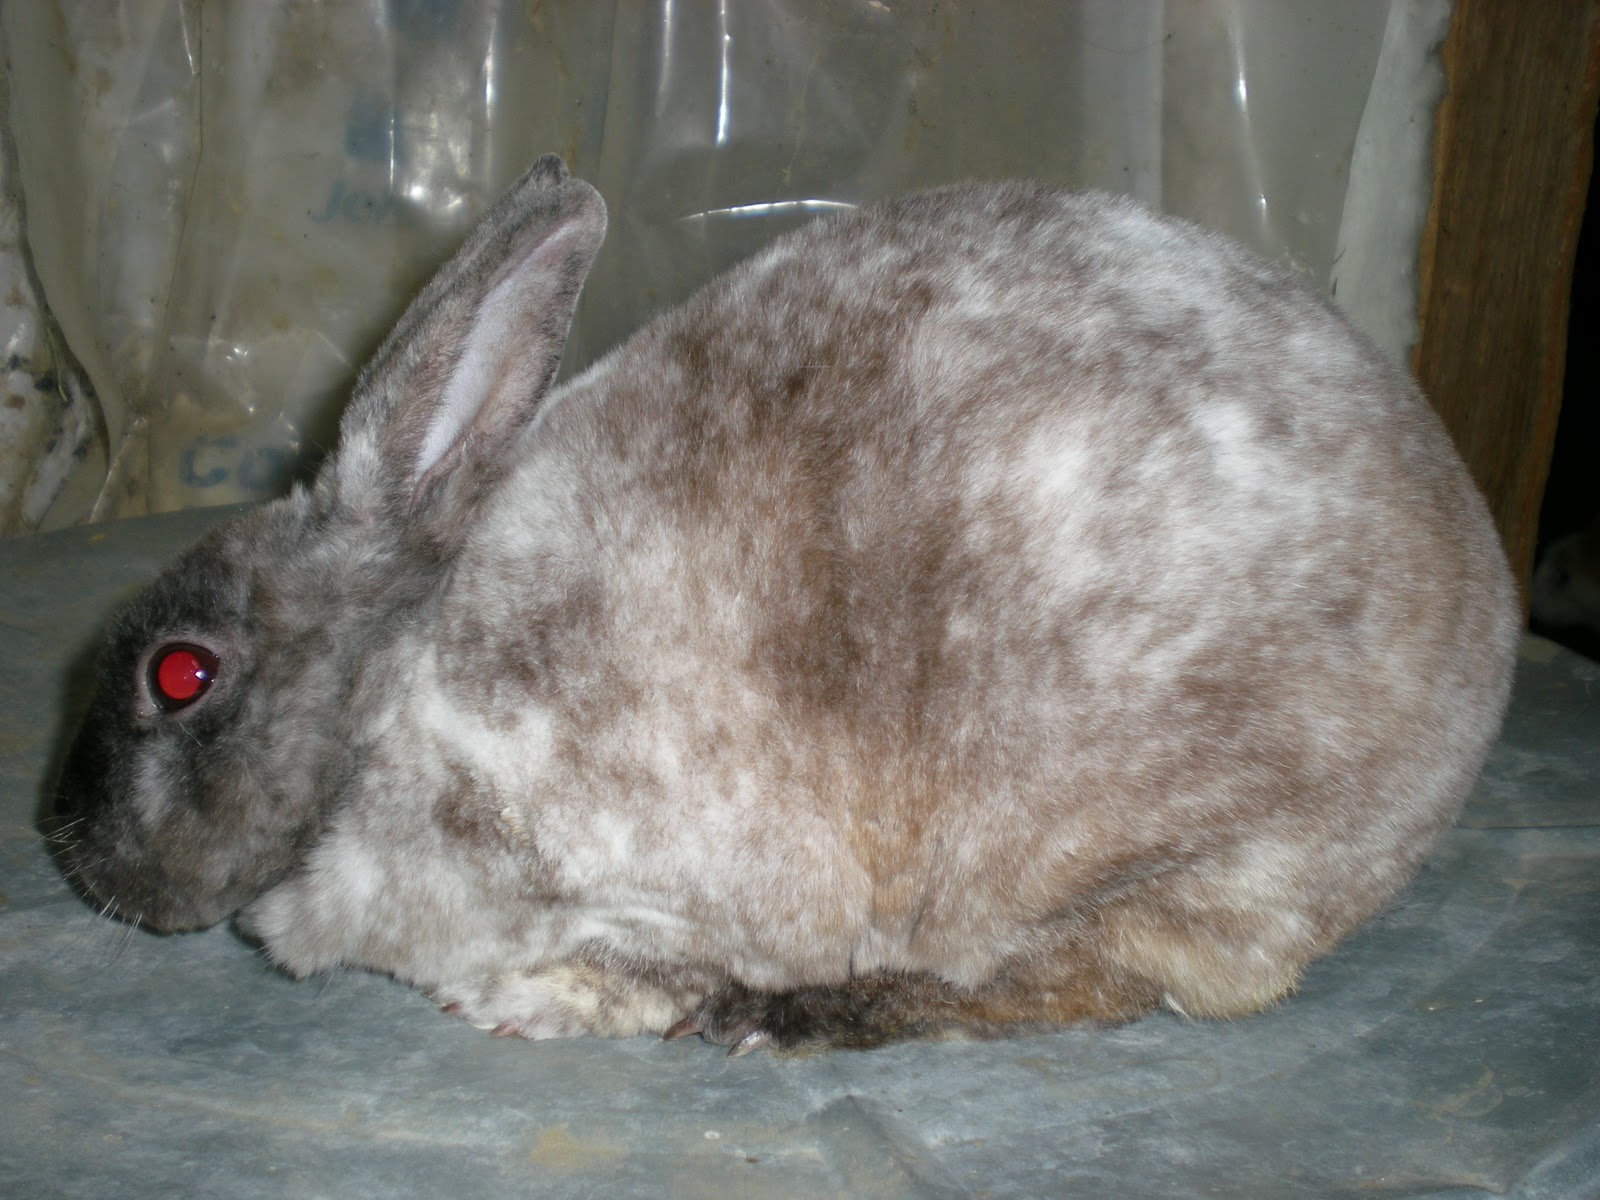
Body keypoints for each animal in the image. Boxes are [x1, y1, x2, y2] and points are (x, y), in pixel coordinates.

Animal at [53, 155, 1520, 1054]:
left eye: (180, 675)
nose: (67, 844)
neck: (385, 696)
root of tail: (1492, 609)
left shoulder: (678, 878)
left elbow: (646, 964)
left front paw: (537, 1004)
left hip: (1165, 858)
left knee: (1084, 984)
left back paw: (800, 1022)